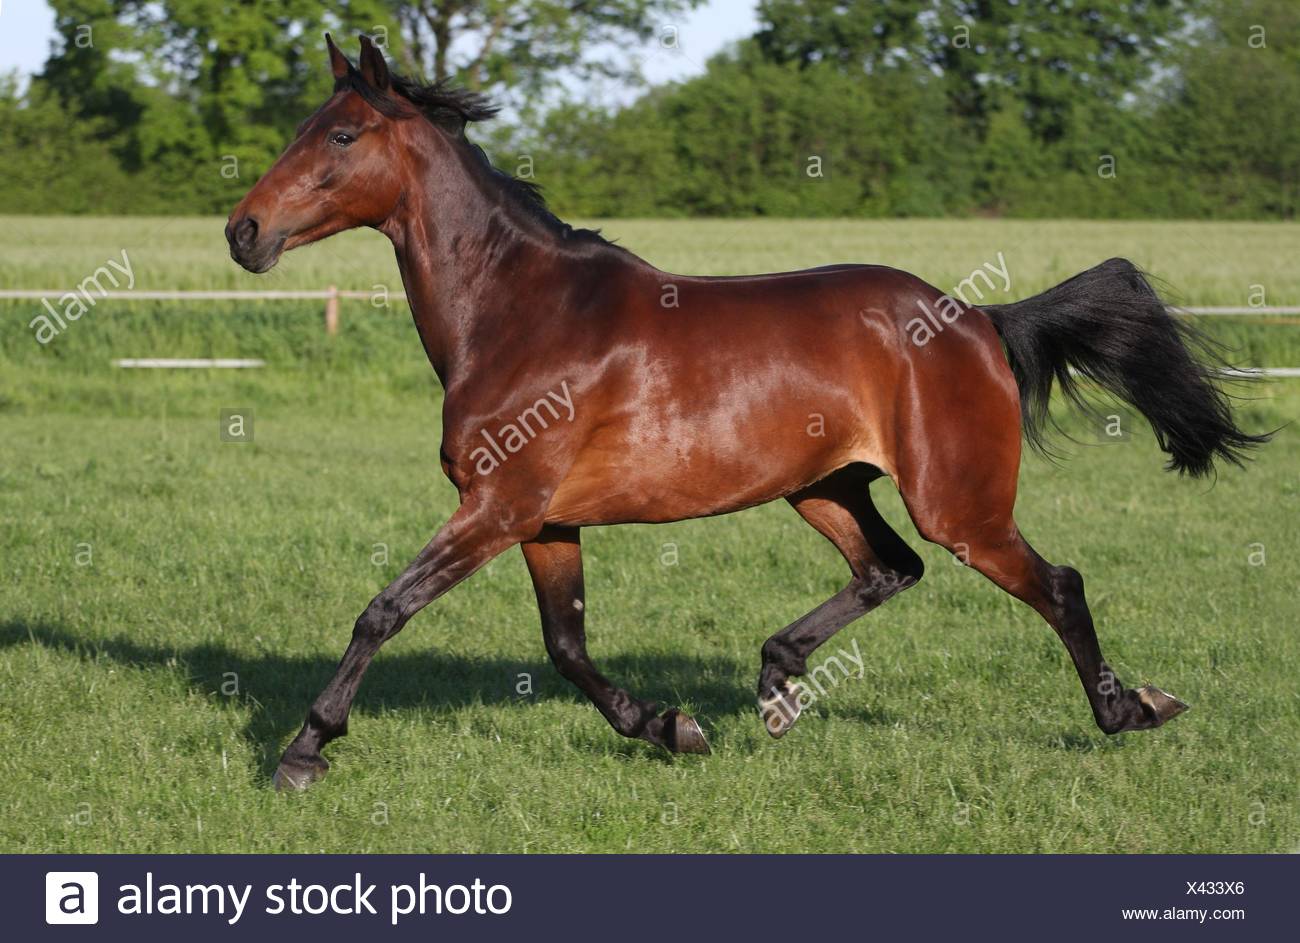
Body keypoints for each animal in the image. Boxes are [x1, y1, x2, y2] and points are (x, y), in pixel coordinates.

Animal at [226, 35, 1268, 790]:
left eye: (341, 138)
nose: (243, 232)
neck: (519, 314)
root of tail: (977, 317)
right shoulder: (543, 519)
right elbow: (566, 646)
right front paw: (670, 726)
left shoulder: (495, 507)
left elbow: (383, 609)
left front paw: (302, 750)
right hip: (826, 486)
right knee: (890, 569)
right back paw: (774, 681)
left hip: (959, 502)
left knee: (1055, 584)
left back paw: (1130, 708)